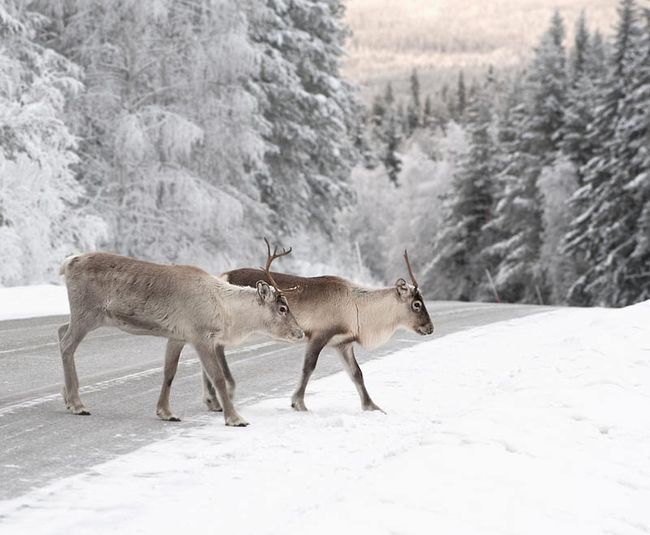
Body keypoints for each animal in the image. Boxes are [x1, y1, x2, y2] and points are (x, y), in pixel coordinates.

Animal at [57, 243, 304, 427]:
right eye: (283, 308)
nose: (300, 333)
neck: (227, 311)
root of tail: (68, 263)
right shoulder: (200, 336)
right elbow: (218, 378)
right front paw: (235, 419)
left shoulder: (177, 337)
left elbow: (169, 373)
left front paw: (166, 412)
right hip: (87, 313)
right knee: (67, 344)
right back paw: (77, 404)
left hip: (89, 316)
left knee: (61, 331)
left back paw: (67, 398)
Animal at [208, 246, 434, 414]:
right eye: (416, 304)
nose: (430, 328)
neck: (359, 310)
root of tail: (223, 275)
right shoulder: (319, 335)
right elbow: (308, 367)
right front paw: (298, 403)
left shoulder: (342, 343)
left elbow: (356, 373)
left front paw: (372, 406)